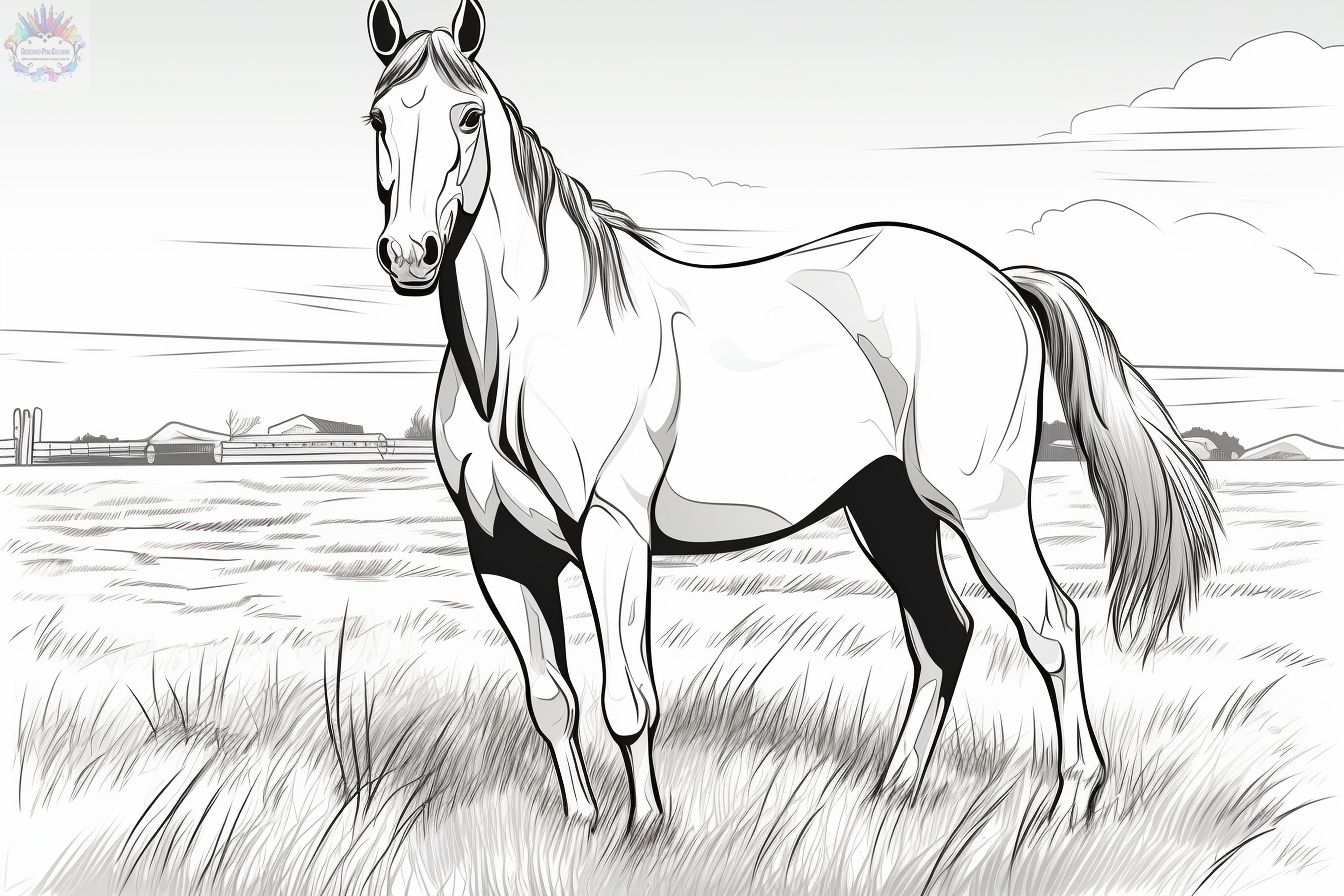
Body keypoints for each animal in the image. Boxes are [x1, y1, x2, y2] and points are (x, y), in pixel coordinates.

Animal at [362, 0, 1221, 831]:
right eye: (377, 118)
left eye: (468, 115)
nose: (410, 254)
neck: (530, 346)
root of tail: (1005, 283)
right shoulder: (502, 556)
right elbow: (551, 701)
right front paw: (580, 821)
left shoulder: (613, 534)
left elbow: (627, 699)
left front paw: (644, 829)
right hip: (890, 511)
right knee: (944, 634)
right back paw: (894, 792)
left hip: (982, 507)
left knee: (1050, 627)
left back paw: (1071, 801)